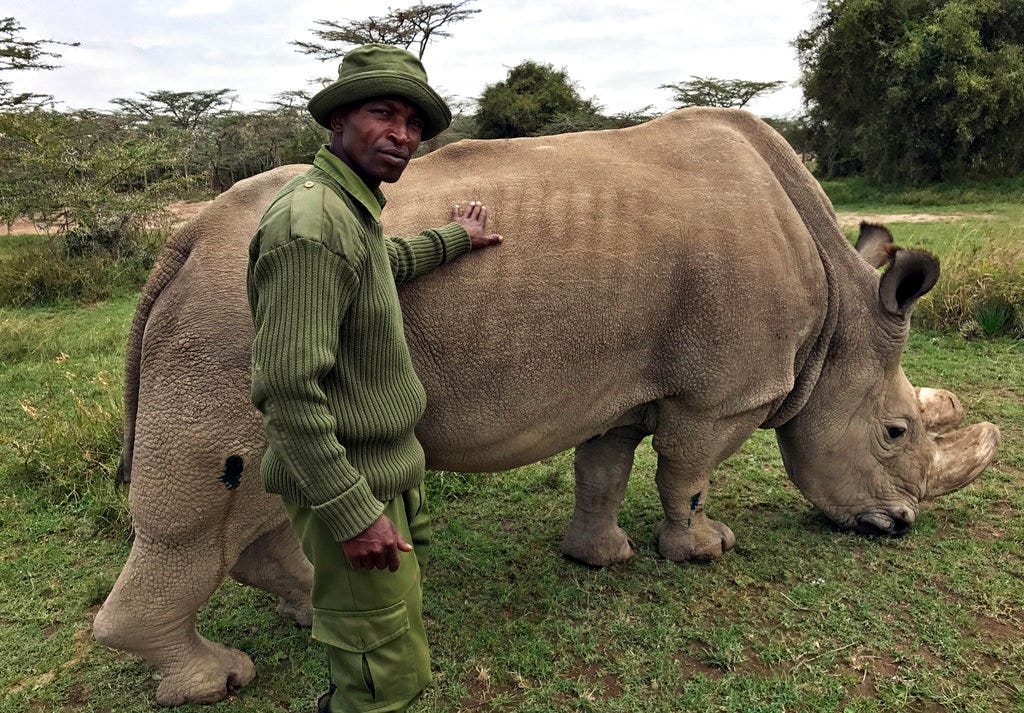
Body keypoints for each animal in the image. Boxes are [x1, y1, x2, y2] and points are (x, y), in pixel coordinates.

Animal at [92, 108, 1000, 706]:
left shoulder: (624, 379)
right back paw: (219, 677)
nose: (900, 525)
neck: (840, 320)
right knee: (211, 504)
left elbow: (603, 467)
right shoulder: (720, 392)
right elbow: (689, 472)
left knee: (268, 498)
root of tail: (181, 242)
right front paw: (704, 549)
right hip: (230, 323)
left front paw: (601, 557)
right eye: (895, 431)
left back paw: (313, 601)